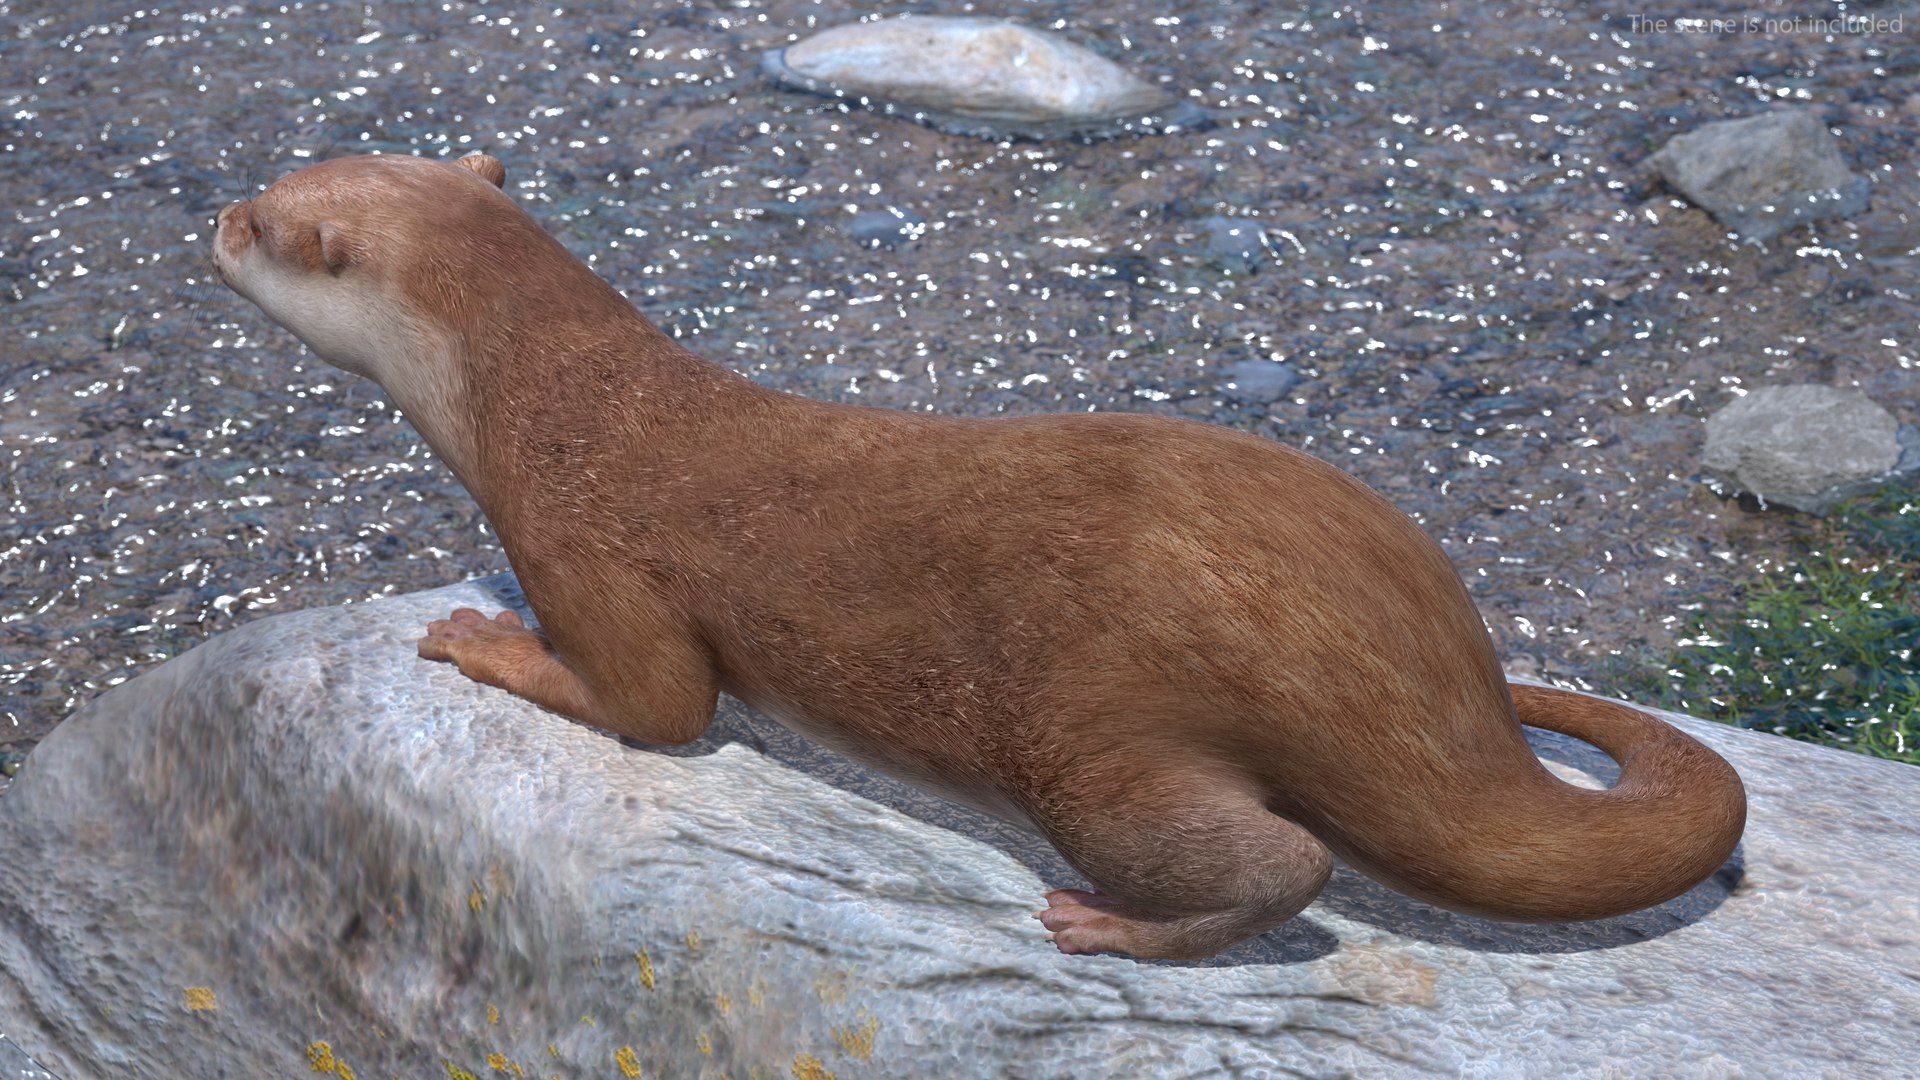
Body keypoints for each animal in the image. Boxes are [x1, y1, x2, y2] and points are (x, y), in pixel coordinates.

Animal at [214, 152, 1745, 960]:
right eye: (279, 181)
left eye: (271, 223)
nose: (214, 221)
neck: (559, 400)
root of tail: (1412, 673)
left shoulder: (584, 541)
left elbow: (655, 706)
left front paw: (476, 639)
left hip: (1088, 735)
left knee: (1281, 863)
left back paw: (1107, 927)